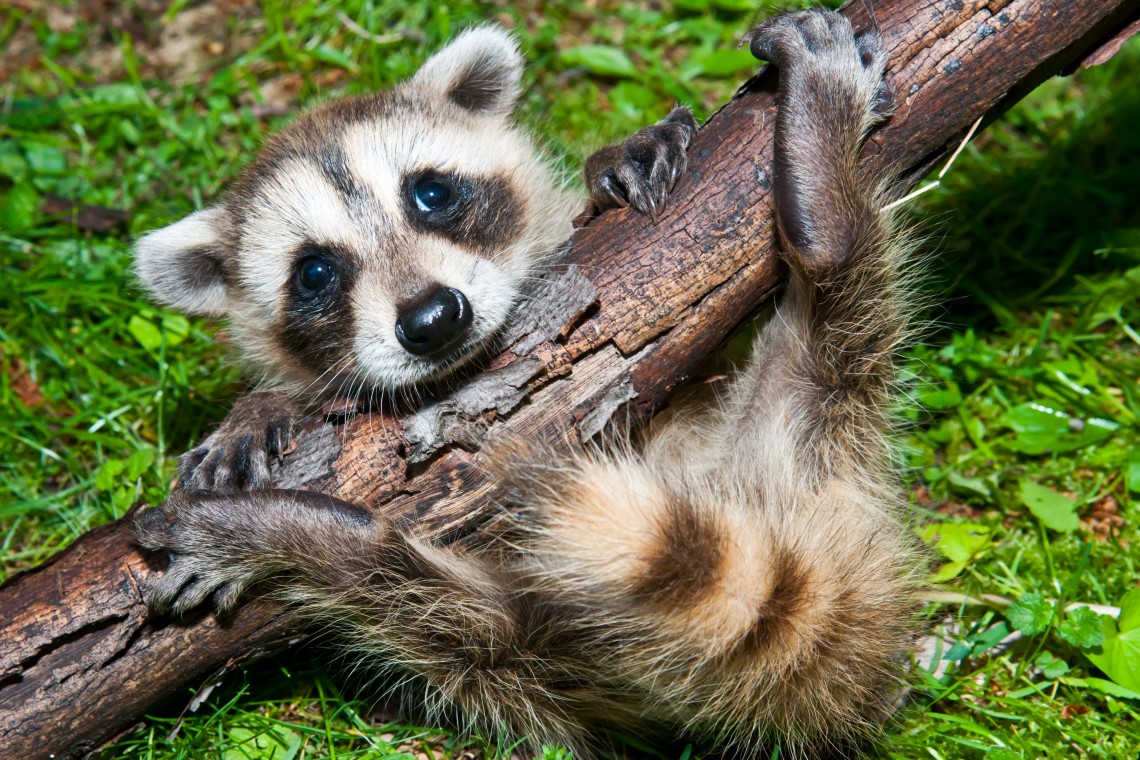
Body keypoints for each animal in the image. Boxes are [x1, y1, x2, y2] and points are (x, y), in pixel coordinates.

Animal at [135, 10, 924, 757]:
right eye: (316, 273)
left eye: (430, 193)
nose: (432, 319)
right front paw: (256, 410)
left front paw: (612, 163)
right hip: (544, 644)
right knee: (410, 597)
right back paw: (298, 533)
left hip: (817, 413)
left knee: (838, 309)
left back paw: (824, 196)